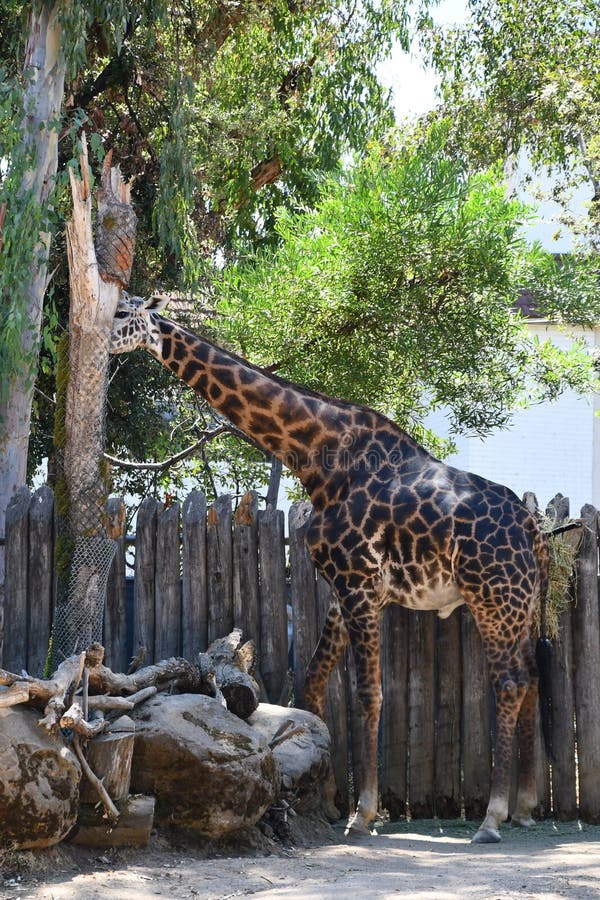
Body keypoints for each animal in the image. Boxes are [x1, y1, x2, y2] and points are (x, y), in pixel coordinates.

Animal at [110, 294, 551, 844]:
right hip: (522, 603)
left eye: (122, 315)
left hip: (493, 598)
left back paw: (492, 817)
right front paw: (321, 796)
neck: (317, 458)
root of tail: (533, 529)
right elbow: (315, 680)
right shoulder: (345, 592)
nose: (98, 336)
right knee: (531, 677)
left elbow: (368, 692)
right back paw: (526, 806)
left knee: (510, 682)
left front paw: (363, 812)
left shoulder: (359, 584)